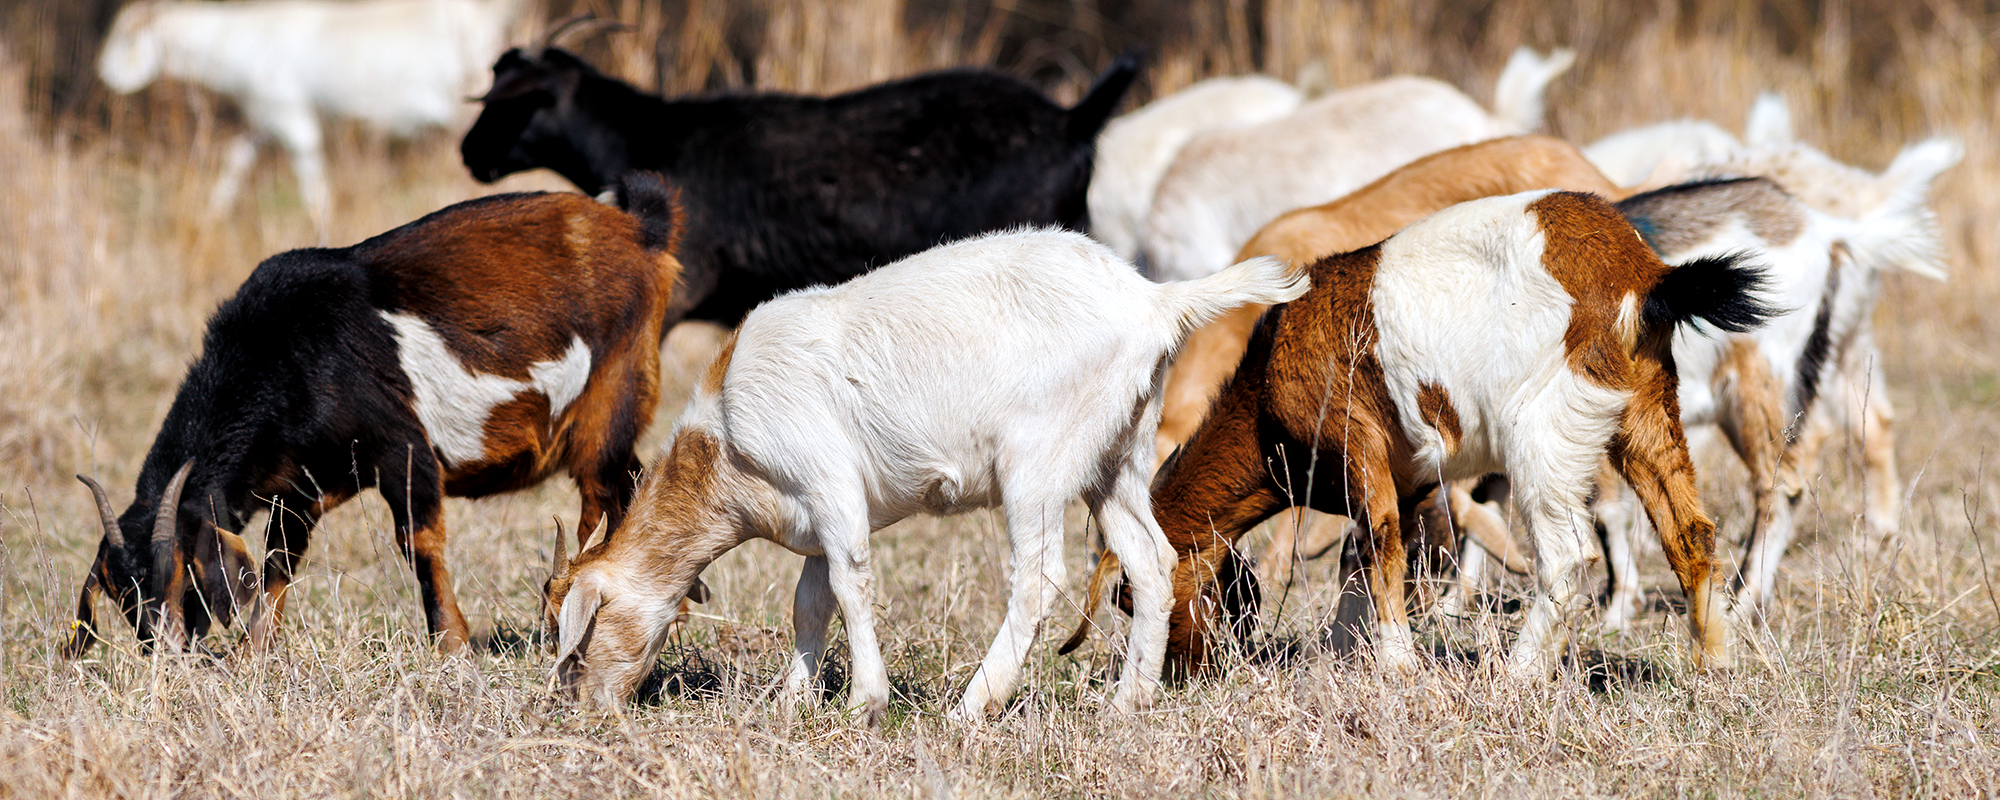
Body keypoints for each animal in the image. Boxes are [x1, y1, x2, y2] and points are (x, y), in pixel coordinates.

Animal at [65, 174, 691, 657]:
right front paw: (253, 651)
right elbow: (278, 559)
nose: (163, 651)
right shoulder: (300, 484)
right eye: (118, 594)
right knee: (631, 482)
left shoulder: (403, 447)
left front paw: (452, 647)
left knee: (597, 503)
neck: (286, 354)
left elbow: (419, 542)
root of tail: (639, 229)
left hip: (611, 399)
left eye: (178, 571)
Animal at [97, 0, 521, 237]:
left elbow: (309, 173)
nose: (105, 76)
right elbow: (236, 161)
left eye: (127, 39)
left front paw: (321, 224)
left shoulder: (289, 115)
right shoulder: (263, 117)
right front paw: (213, 213)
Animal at [541, 229, 1309, 722]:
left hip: (1038, 458)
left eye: (577, 643)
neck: (725, 432)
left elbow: (851, 585)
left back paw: (972, 706)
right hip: (1117, 454)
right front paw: (791, 699)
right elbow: (811, 600)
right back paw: (1128, 702)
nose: (581, 710)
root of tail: (1154, 301)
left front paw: (865, 704)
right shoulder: (814, 516)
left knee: (1038, 576)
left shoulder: (829, 485)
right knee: (1151, 560)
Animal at [1064, 190, 1774, 676]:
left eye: (1127, 600)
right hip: (1645, 410)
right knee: (1690, 532)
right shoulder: (1404, 480)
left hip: (1545, 428)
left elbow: (1382, 554)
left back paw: (1517, 676)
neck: (1264, 395)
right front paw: (1342, 657)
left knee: (1568, 558)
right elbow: (1362, 559)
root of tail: (1645, 277)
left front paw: (1398, 666)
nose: (1190, 670)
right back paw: (1714, 665)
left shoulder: (1359, 444)